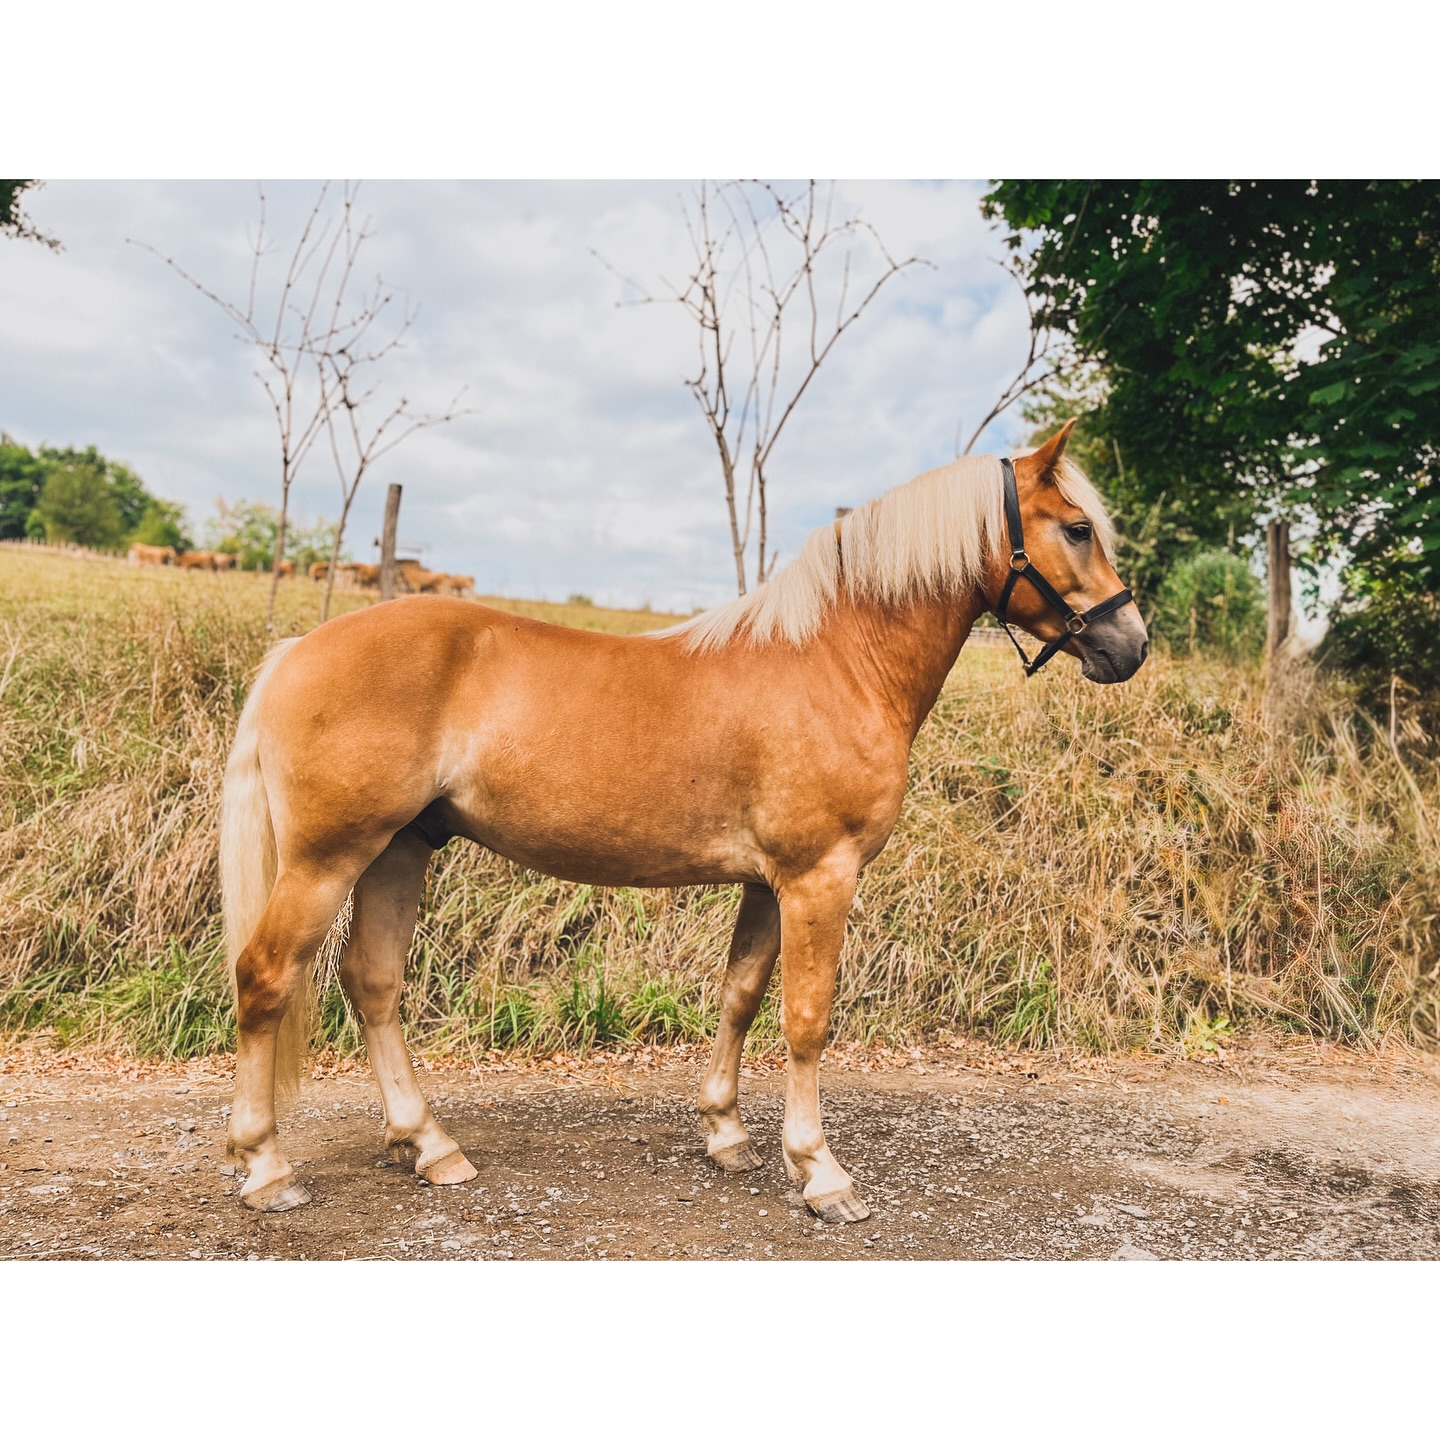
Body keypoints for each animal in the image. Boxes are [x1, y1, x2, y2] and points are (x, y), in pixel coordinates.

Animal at [218, 422, 1147, 1218]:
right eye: (1075, 529)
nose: (1130, 646)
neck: (836, 662)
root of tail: (298, 650)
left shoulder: (771, 884)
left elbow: (741, 996)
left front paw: (727, 1134)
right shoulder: (821, 876)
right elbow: (806, 1020)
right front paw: (821, 1173)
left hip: (397, 850)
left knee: (373, 983)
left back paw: (429, 1145)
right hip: (328, 858)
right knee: (266, 977)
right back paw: (267, 1168)